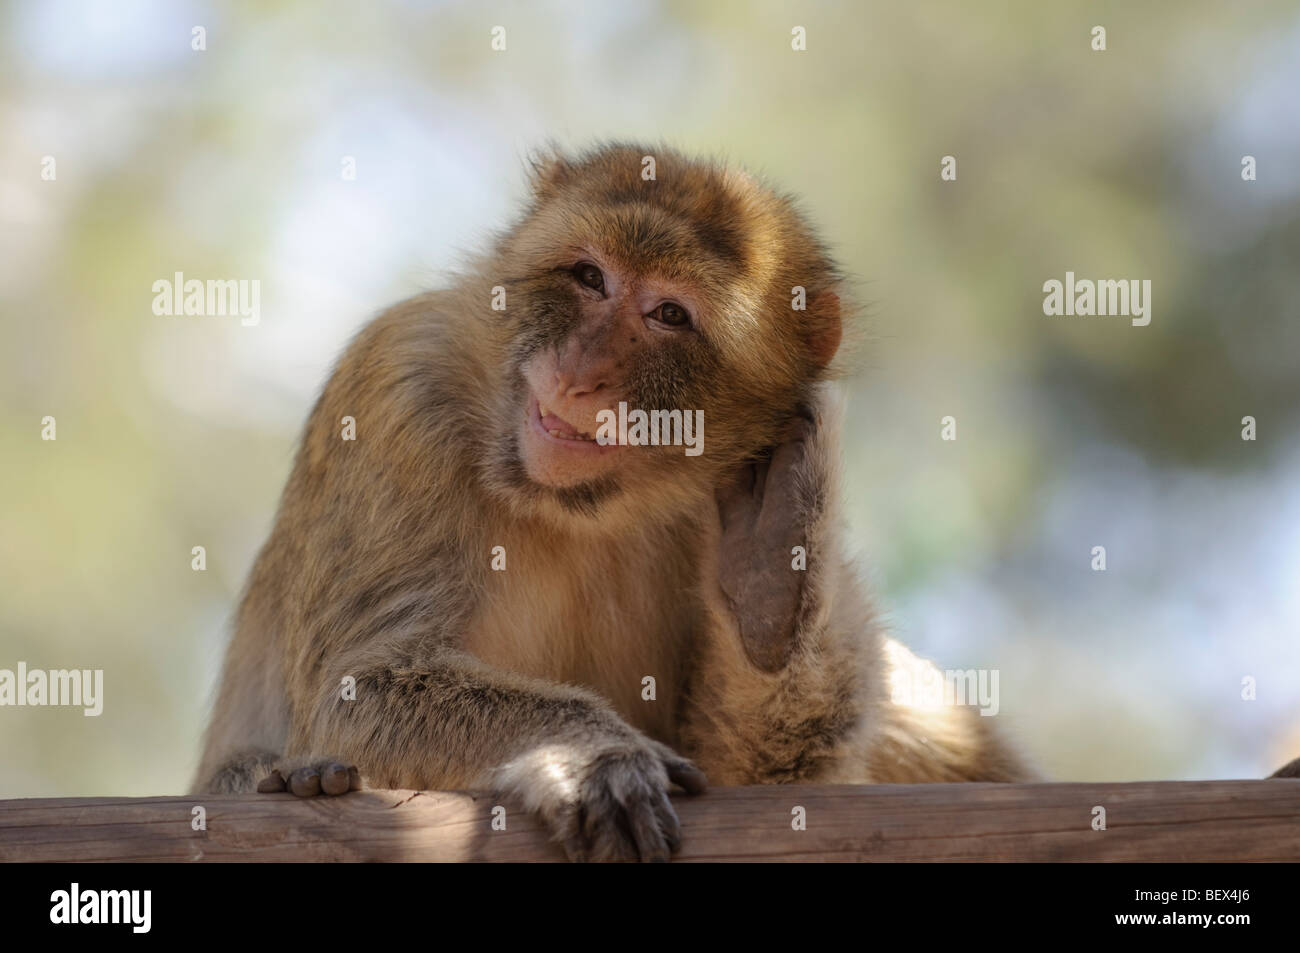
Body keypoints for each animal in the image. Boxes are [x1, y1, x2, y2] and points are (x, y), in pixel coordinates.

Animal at [193, 142, 1032, 862]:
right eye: (589, 277)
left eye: (670, 314)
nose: (580, 372)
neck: (572, 505)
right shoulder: (399, 389)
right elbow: (359, 690)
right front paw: (589, 750)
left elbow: (761, 783)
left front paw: (768, 572)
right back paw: (301, 779)